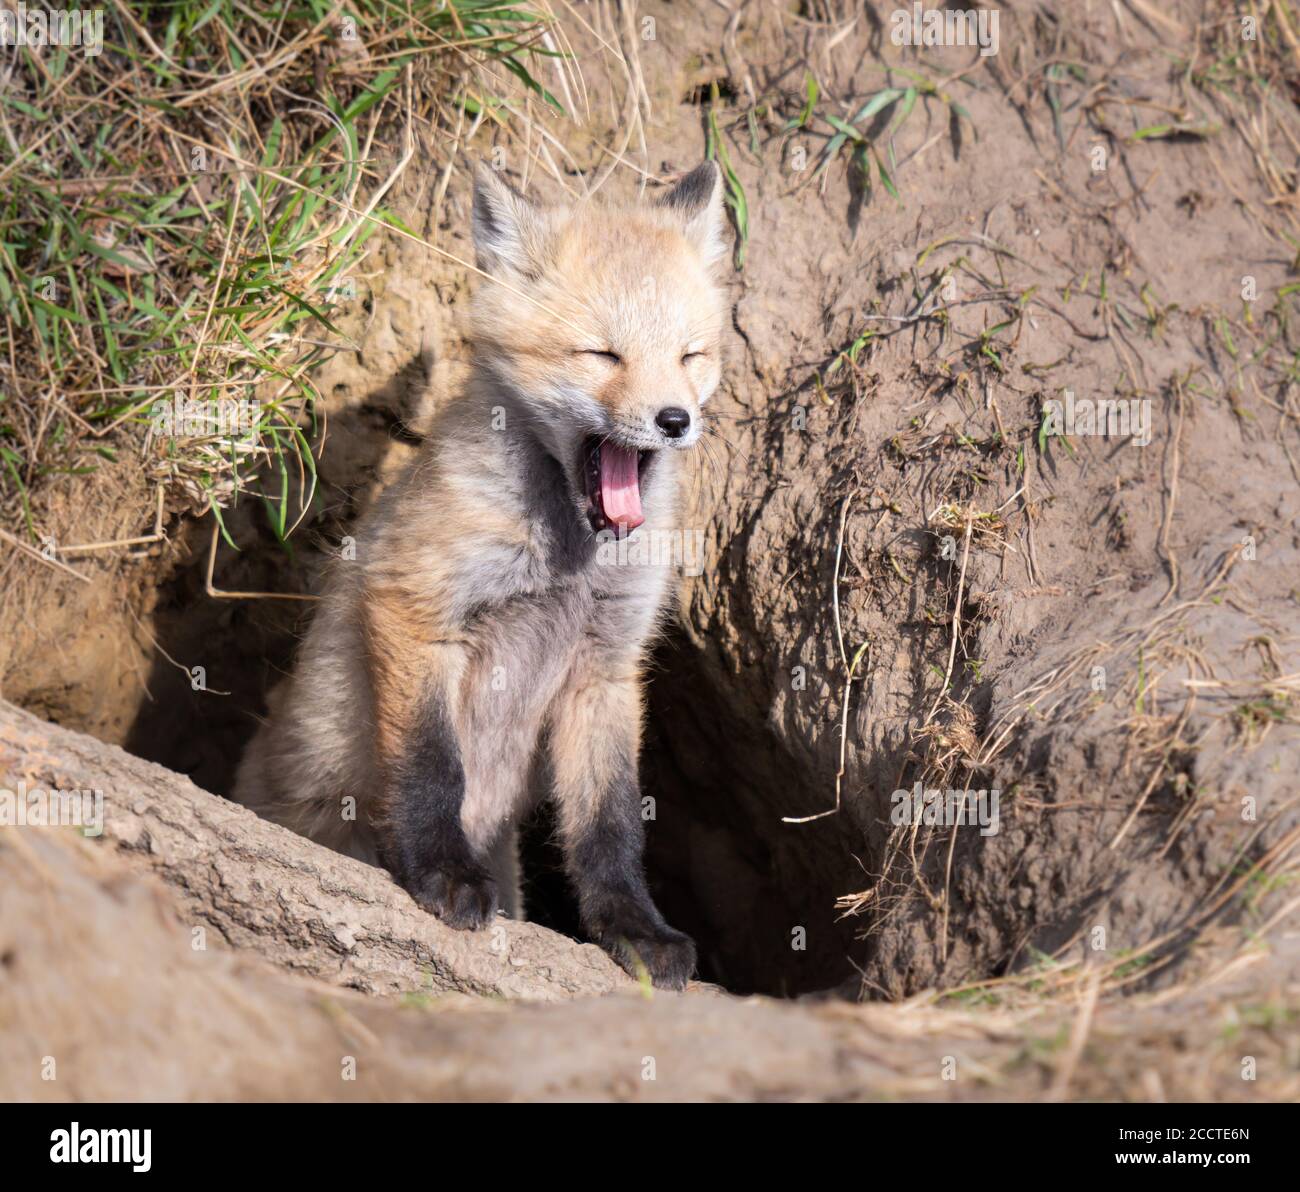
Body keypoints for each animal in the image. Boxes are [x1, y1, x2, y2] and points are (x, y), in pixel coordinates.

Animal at [233, 160, 728, 990]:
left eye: (691, 356)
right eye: (602, 355)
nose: (674, 421)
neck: (567, 560)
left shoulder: (605, 666)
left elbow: (611, 822)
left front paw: (632, 928)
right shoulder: (416, 606)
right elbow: (432, 766)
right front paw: (441, 875)